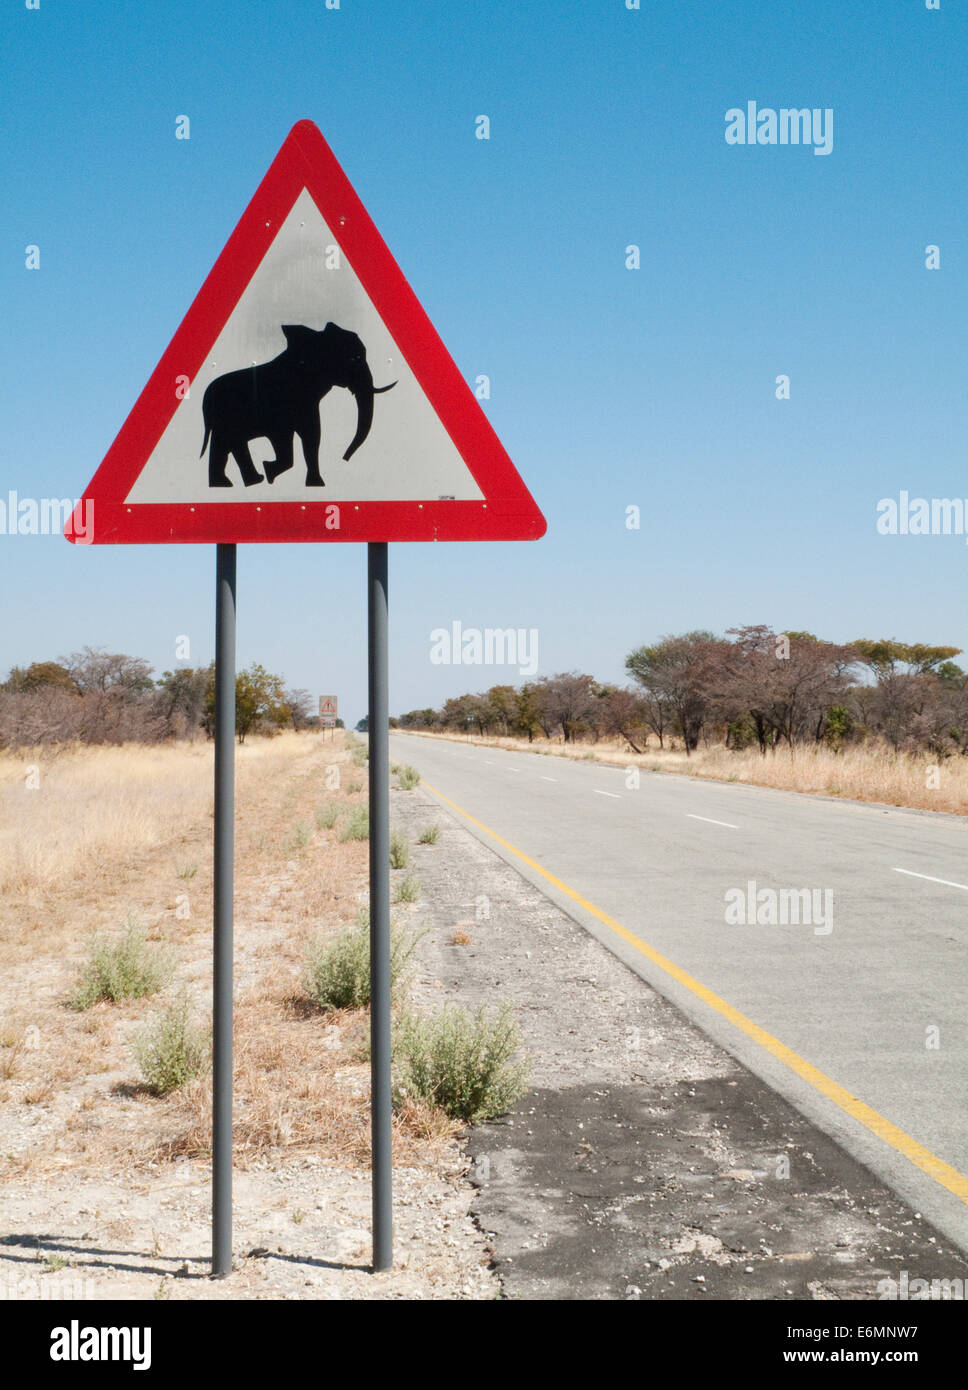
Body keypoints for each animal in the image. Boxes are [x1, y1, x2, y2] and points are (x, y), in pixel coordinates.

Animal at [199, 322, 396, 488]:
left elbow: (312, 435)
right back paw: (248, 481)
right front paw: (269, 470)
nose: (344, 458)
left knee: (224, 445)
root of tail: (205, 397)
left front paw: (315, 485)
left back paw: (230, 484)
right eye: (355, 358)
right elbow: (288, 438)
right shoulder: (282, 407)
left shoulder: (307, 404)